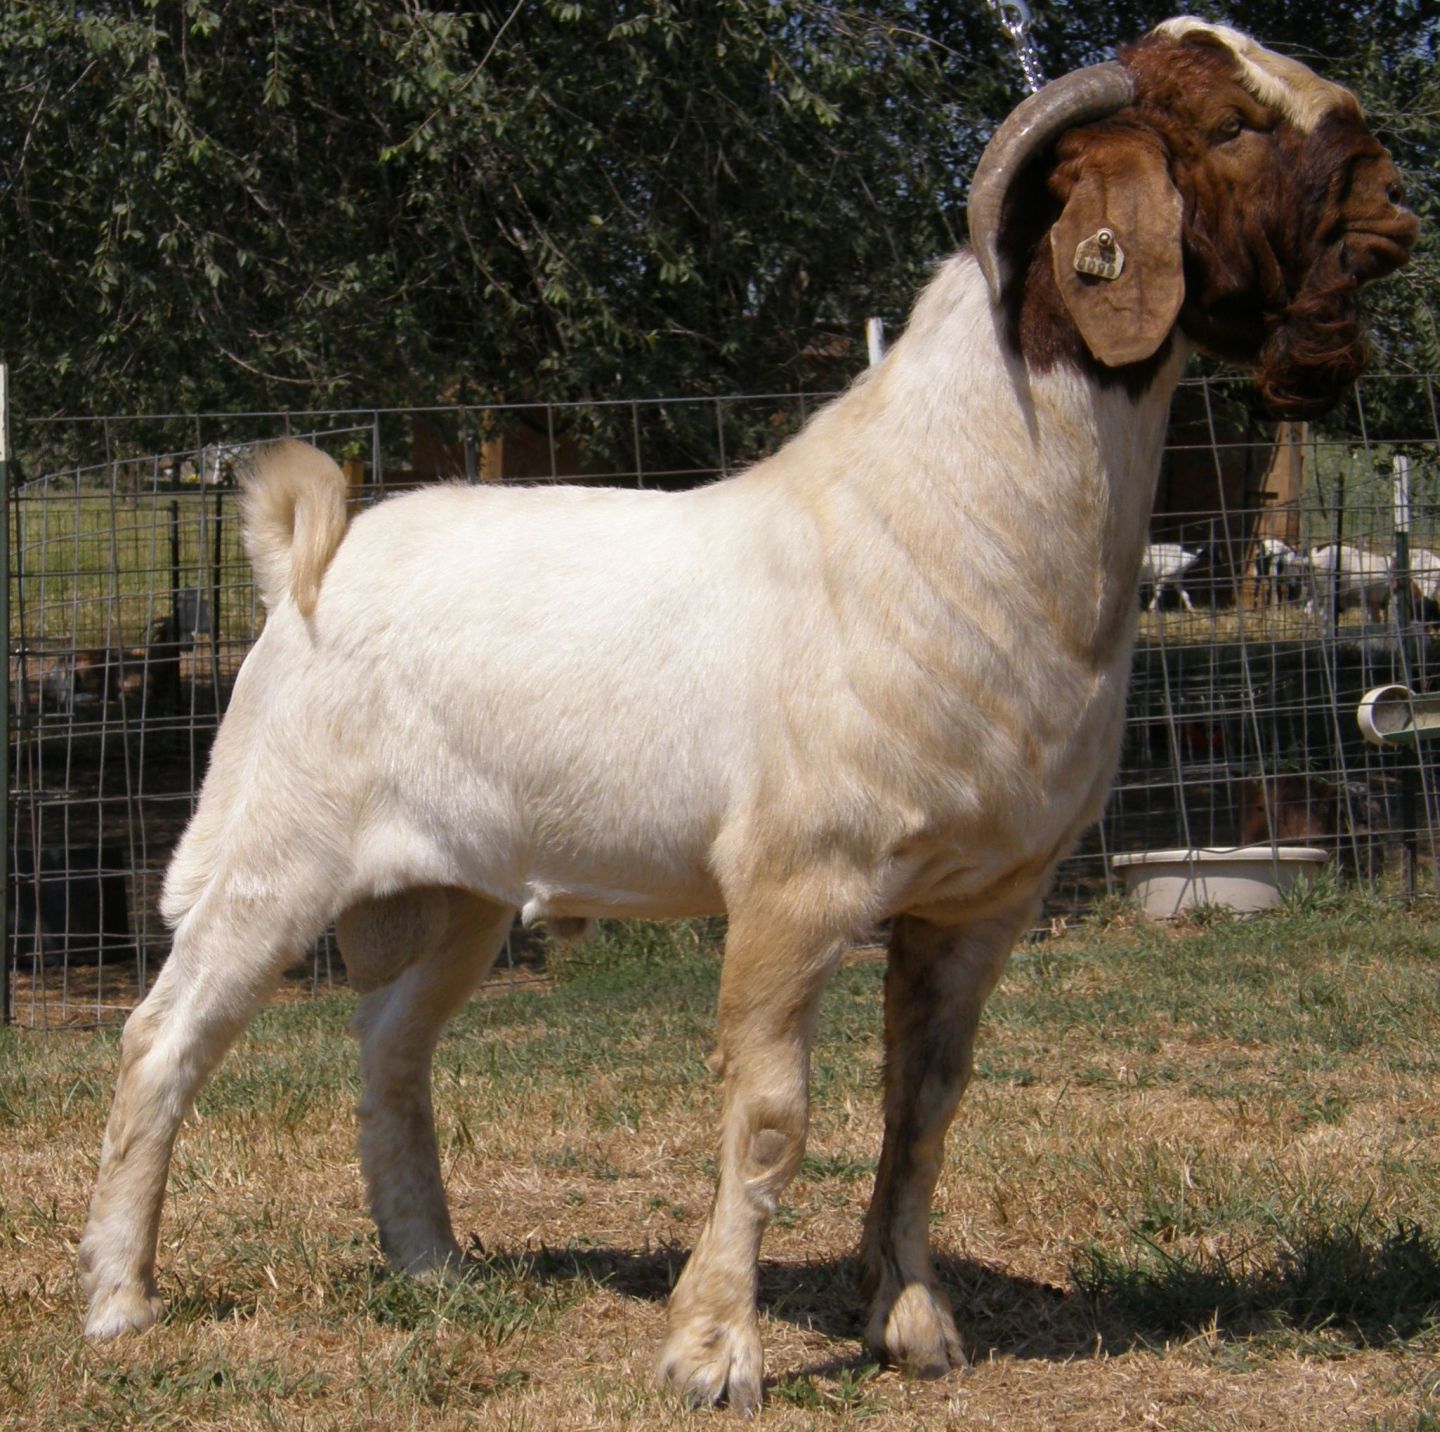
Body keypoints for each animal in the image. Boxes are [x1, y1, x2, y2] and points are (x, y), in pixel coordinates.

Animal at [79, 18, 1416, 1412]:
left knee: (390, 1047)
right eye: (1230, 127)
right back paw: (121, 1299)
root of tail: (309, 564)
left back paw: (435, 1266)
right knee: (162, 1039)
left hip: (457, 888)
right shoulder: (798, 881)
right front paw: (714, 1350)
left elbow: (926, 1103)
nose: (1392, 203)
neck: (947, 519)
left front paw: (912, 1323)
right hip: (271, 850)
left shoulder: (985, 896)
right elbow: (771, 1113)